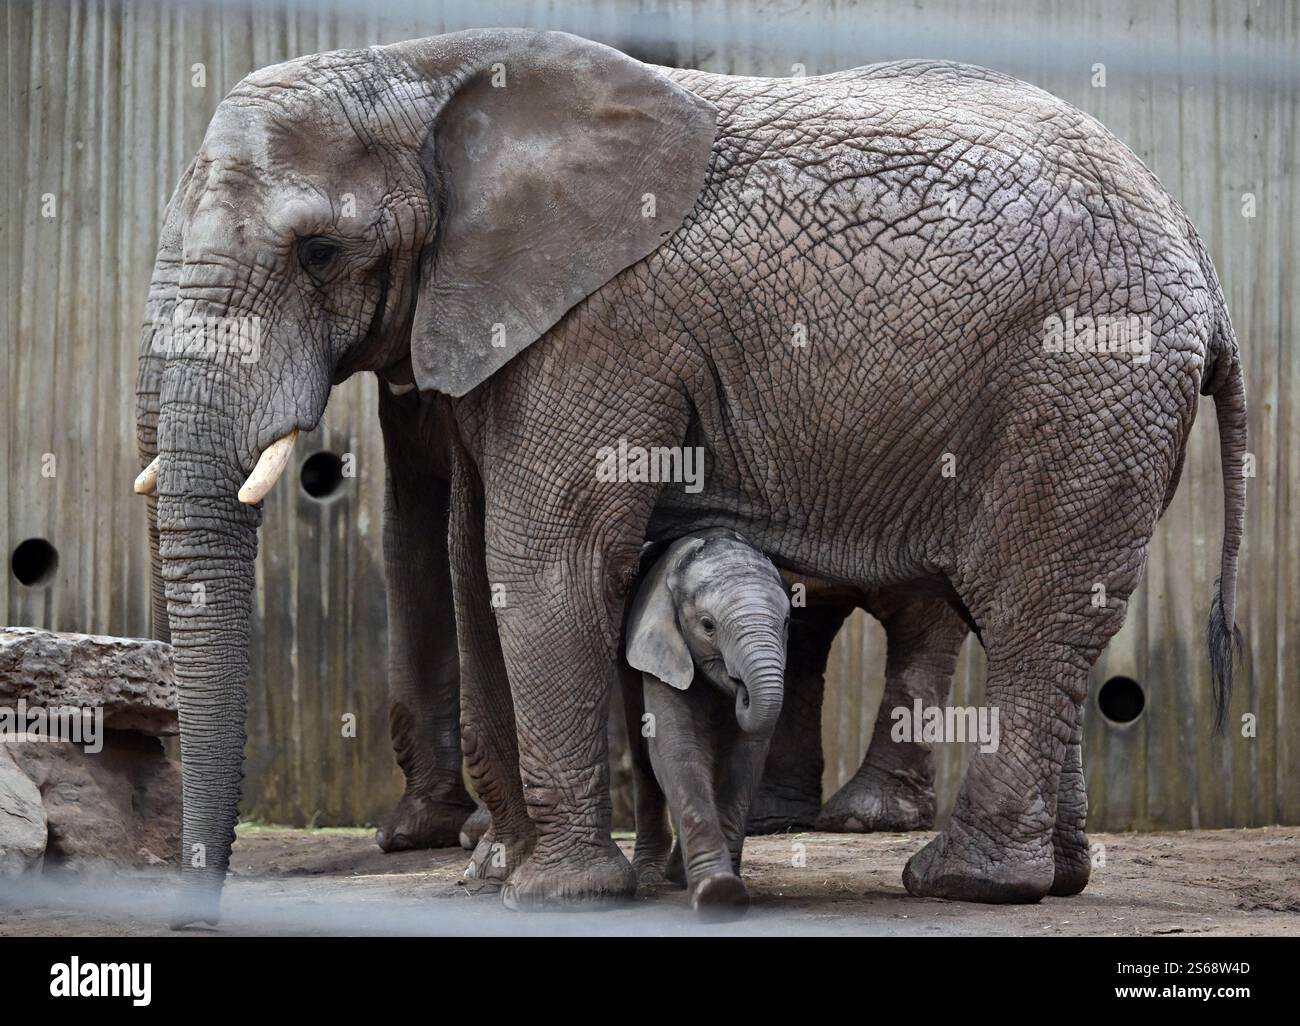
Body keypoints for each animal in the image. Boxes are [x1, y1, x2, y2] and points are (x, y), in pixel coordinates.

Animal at [622, 530, 791, 911]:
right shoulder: (660, 649)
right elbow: (678, 748)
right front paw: (716, 891)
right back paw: (651, 876)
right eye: (707, 626)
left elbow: (746, 758)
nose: (742, 691)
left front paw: (722, 887)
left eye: (787, 623)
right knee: (642, 756)